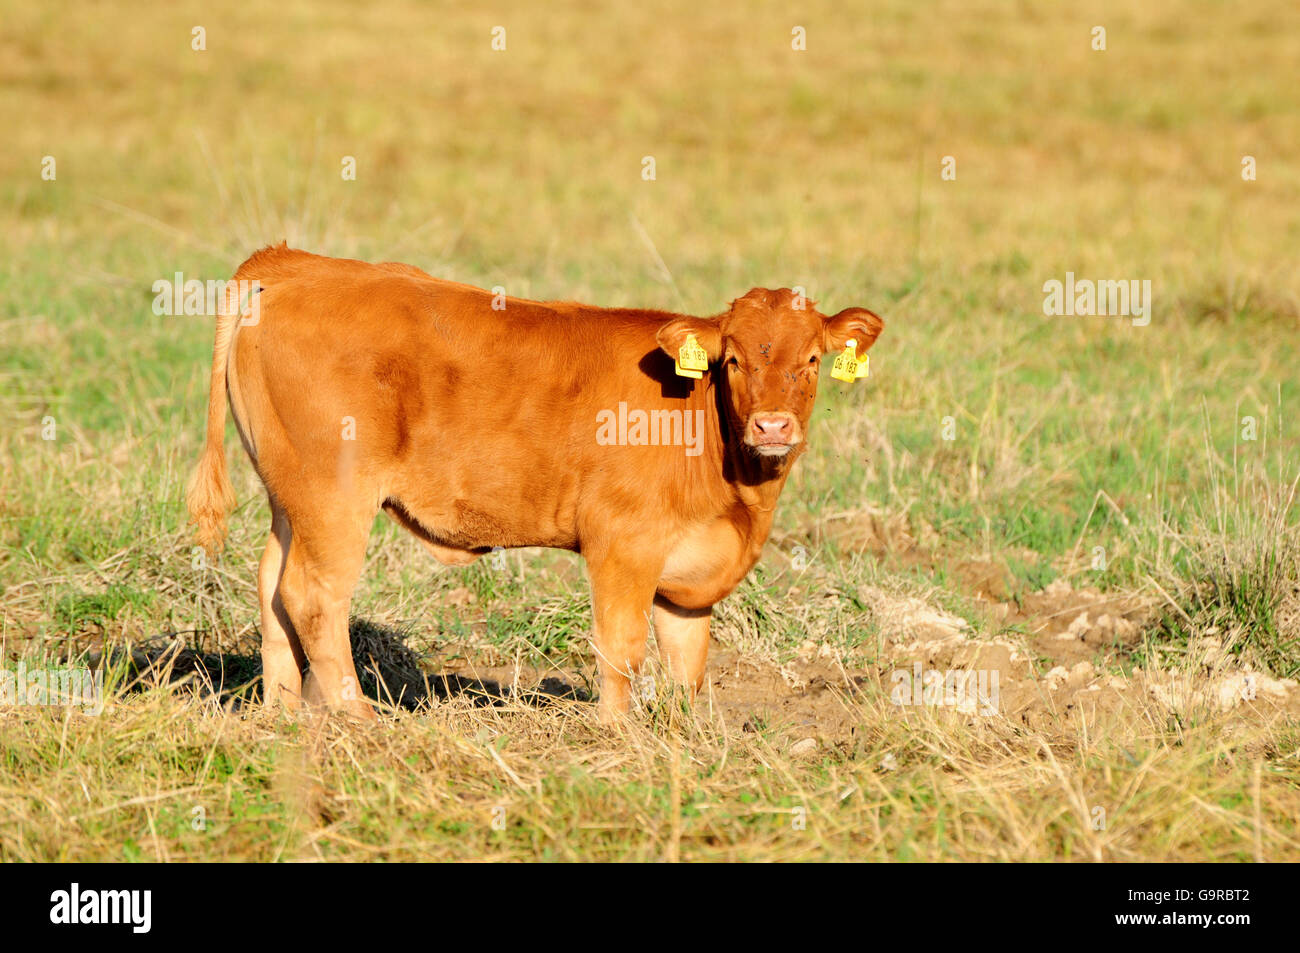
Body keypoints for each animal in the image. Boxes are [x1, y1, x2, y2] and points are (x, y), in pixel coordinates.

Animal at [187, 244, 883, 721]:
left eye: (812, 359)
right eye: (733, 359)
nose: (773, 425)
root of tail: (295, 263)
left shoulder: (689, 571)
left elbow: (686, 663)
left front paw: (681, 740)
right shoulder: (621, 544)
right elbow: (621, 649)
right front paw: (619, 737)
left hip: (290, 497)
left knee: (272, 586)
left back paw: (285, 712)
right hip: (334, 495)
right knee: (313, 594)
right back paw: (359, 717)